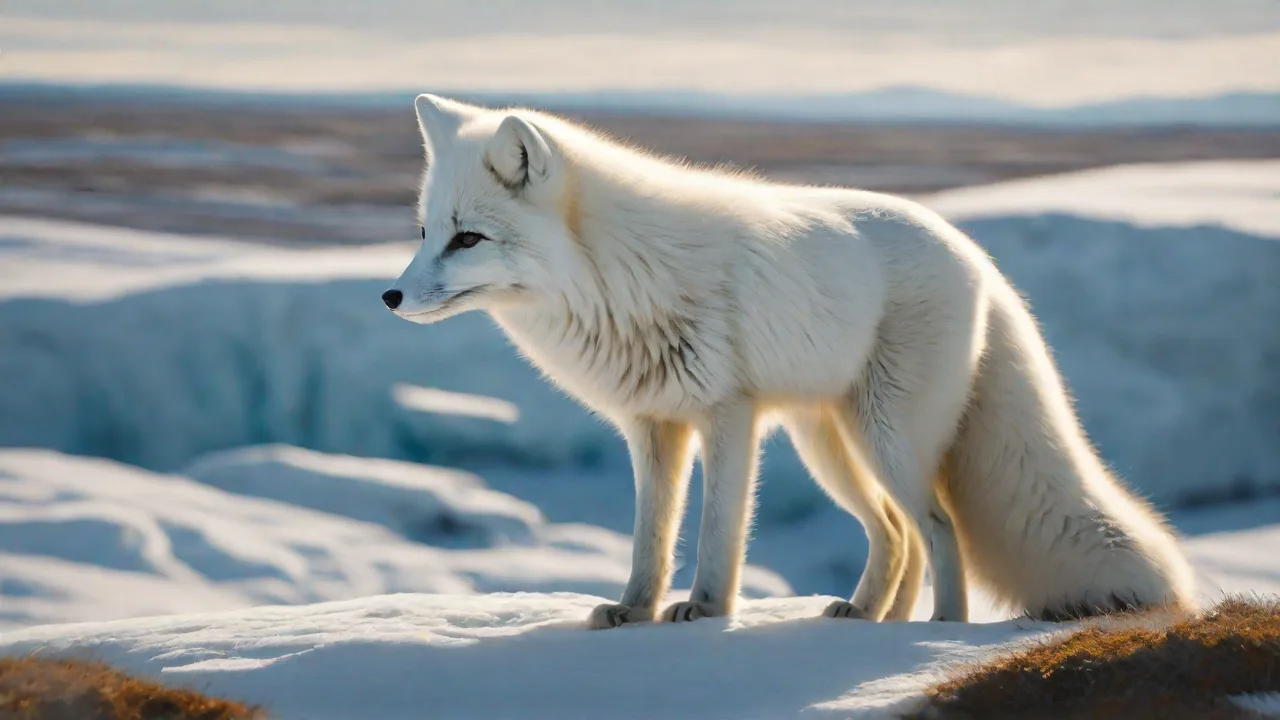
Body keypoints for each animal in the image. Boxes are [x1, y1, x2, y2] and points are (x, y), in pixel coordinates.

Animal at [382, 93, 1198, 628]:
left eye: (468, 239)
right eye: (424, 231)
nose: (389, 295)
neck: (616, 276)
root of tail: (977, 256)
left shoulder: (728, 415)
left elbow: (717, 531)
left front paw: (706, 611)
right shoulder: (652, 426)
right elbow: (651, 537)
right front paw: (633, 610)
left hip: (886, 440)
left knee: (938, 528)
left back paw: (939, 632)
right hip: (829, 446)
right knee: (895, 534)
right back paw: (871, 618)